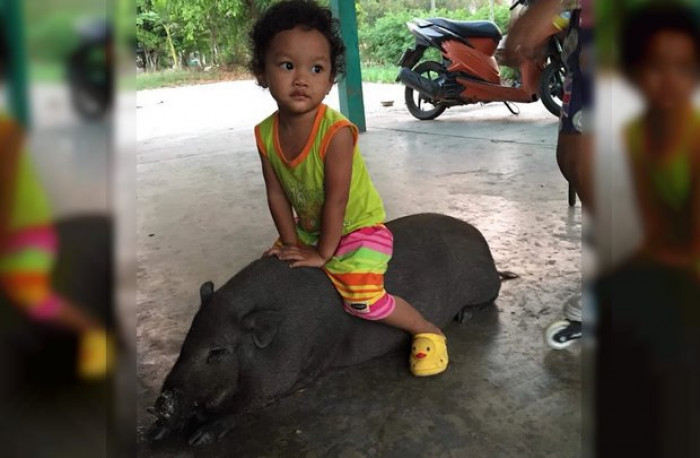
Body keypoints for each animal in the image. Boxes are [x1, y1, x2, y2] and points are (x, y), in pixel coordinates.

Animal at [147, 213, 507, 446]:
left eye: (218, 351)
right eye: (189, 336)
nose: (162, 404)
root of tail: (488, 250)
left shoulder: (303, 369)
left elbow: (247, 405)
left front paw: (198, 439)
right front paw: (157, 434)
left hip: (485, 285)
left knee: (493, 296)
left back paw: (464, 316)